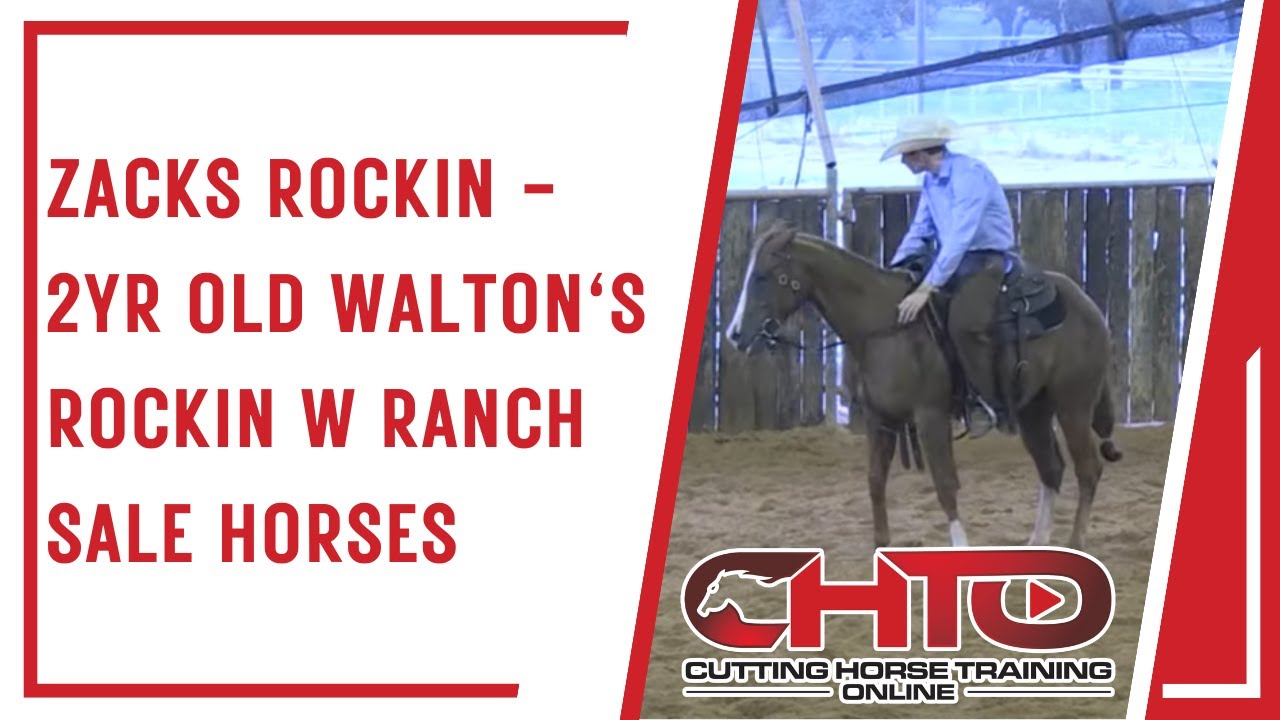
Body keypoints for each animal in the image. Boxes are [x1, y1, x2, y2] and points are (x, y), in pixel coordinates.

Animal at [723, 223, 1122, 550]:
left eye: (763, 276)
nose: (735, 334)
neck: (885, 327)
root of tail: (1088, 306)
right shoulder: (879, 419)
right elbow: (875, 480)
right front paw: (881, 546)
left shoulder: (930, 417)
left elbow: (945, 484)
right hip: (1033, 410)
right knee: (1051, 468)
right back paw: (1038, 541)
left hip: (1073, 406)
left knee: (1088, 469)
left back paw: (1075, 542)